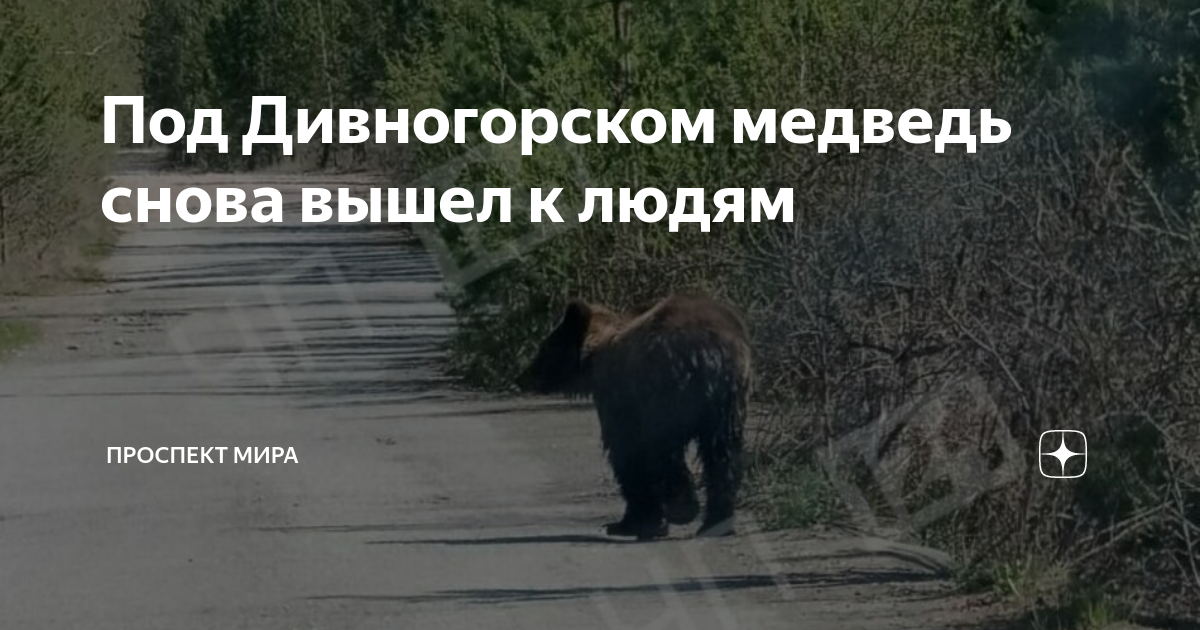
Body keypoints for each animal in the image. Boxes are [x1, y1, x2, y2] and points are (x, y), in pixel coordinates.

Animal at [515, 292, 752, 541]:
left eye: (544, 348)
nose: (521, 378)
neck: (594, 357)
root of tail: (707, 352)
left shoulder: (621, 400)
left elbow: (626, 452)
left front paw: (631, 522)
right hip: (728, 400)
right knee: (723, 453)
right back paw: (716, 523)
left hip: (667, 388)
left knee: (666, 449)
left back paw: (683, 508)